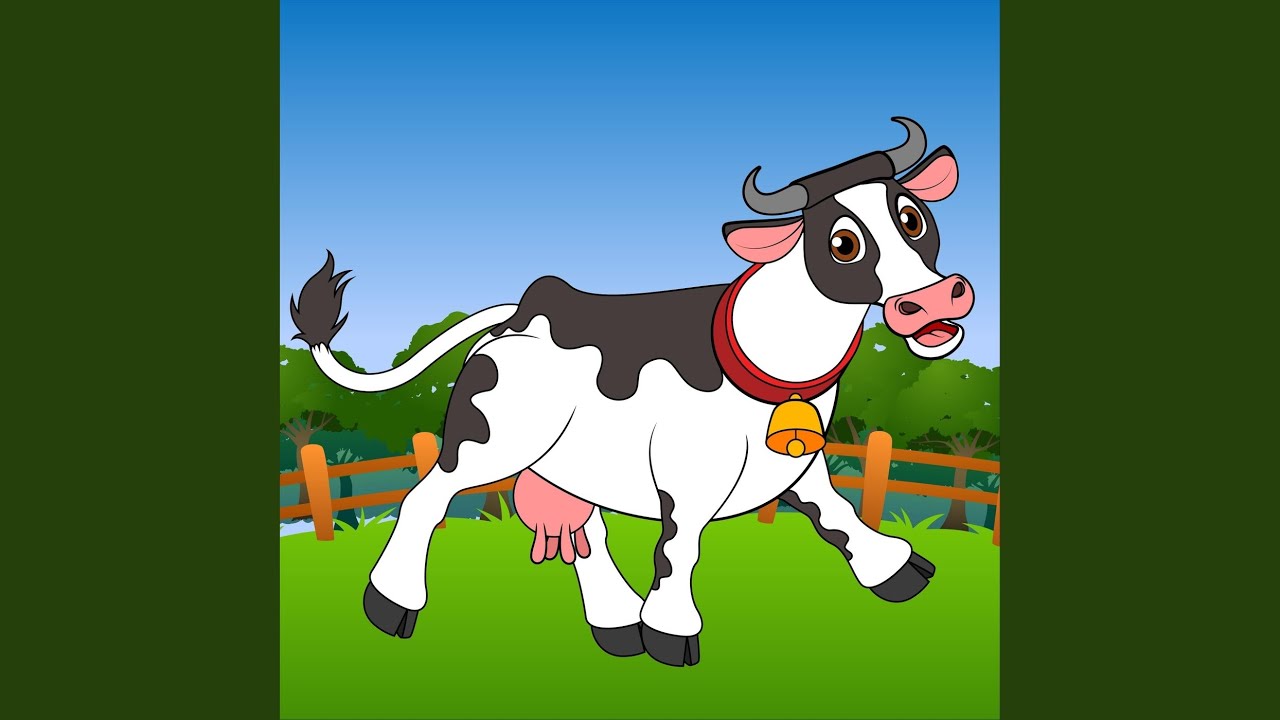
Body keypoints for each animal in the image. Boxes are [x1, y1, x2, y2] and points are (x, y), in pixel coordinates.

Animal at [289, 117, 975, 667]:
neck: (773, 361)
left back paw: (617, 624)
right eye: (843, 242)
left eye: (912, 216)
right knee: (424, 500)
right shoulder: (689, 478)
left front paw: (893, 567)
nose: (934, 300)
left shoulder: (798, 466)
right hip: (488, 440)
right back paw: (392, 603)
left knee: (583, 530)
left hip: (572, 459)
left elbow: (838, 515)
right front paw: (671, 630)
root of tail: (530, 306)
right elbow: (680, 549)